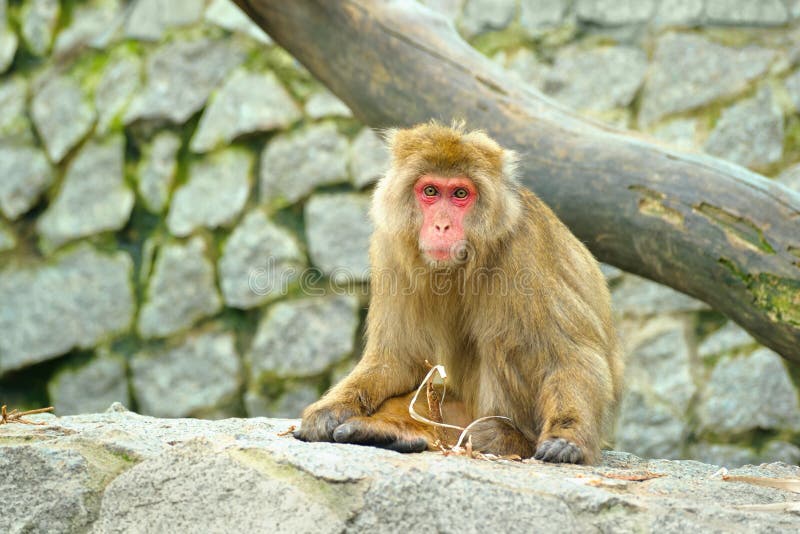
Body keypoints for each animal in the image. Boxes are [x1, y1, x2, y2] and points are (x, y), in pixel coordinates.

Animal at [295, 122, 623, 464]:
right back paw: (389, 432)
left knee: (502, 338)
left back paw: (503, 437)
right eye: (430, 191)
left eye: (460, 194)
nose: (442, 226)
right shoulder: (390, 247)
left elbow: (569, 356)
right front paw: (332, 409)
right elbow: (397, 360)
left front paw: (566, 437)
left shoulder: (525, 247)